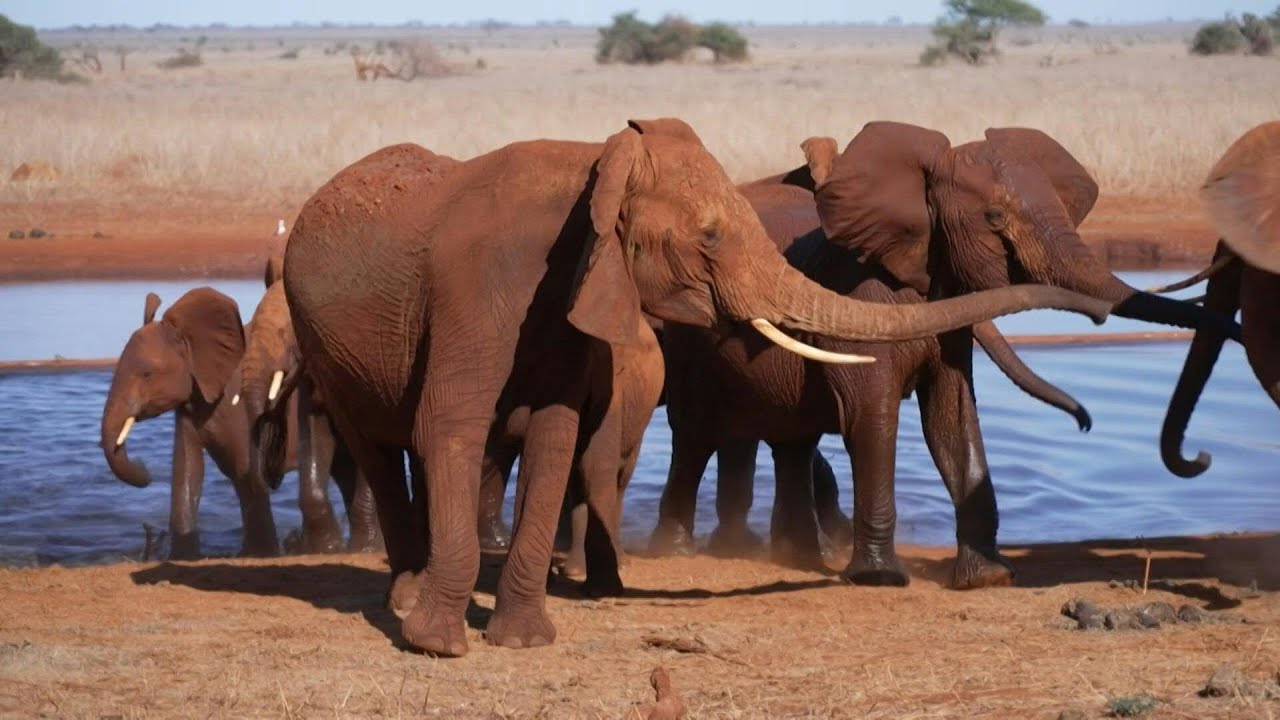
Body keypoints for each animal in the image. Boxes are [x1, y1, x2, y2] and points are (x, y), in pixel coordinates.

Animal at [100, 288, 281, 558]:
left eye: (147, 374)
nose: (144, 468)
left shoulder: (239, 407)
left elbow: (246, 473)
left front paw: (263, 556)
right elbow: (187, 468)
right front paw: (183, 559)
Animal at [283, 119, 1110, 656]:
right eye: (710, 236)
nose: (1087, 425)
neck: (597, 164)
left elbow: (552, 435)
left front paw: (523, 641)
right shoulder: (479, 287)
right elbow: (451, 427)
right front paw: (437, 646)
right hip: (324, 341)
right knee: (381, 446)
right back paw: (405, 599)